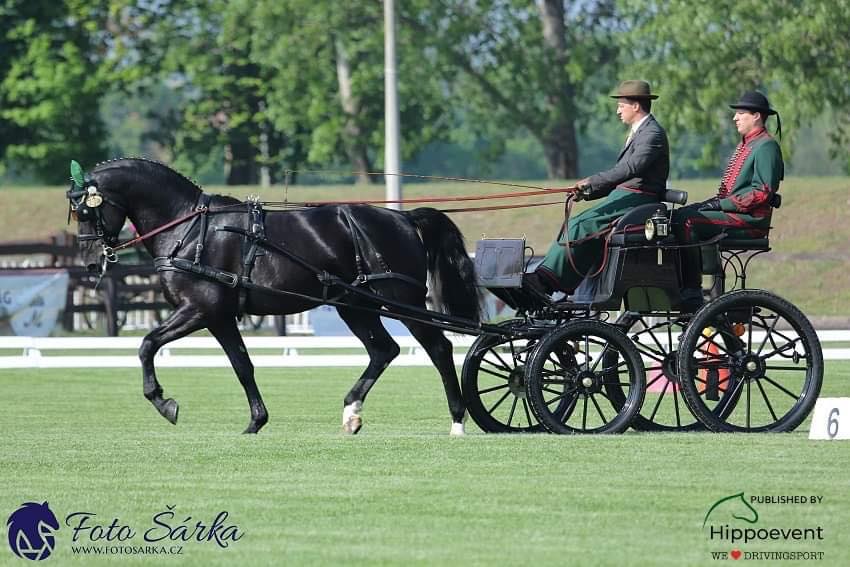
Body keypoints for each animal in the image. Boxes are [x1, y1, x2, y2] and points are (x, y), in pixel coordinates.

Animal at [66, 158, 480, 435]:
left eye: (87, 210)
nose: (90, 263)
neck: (189, 227)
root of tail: (403, 218)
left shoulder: (199, 310)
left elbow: (147, 345)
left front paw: (164, 403)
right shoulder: (219, 317)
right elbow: (242, 365)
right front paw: (256, 421)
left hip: (401, 300)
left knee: (438, 348)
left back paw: (458, 420)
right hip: (355, 307)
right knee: (383, 350)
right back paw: (351, 412)